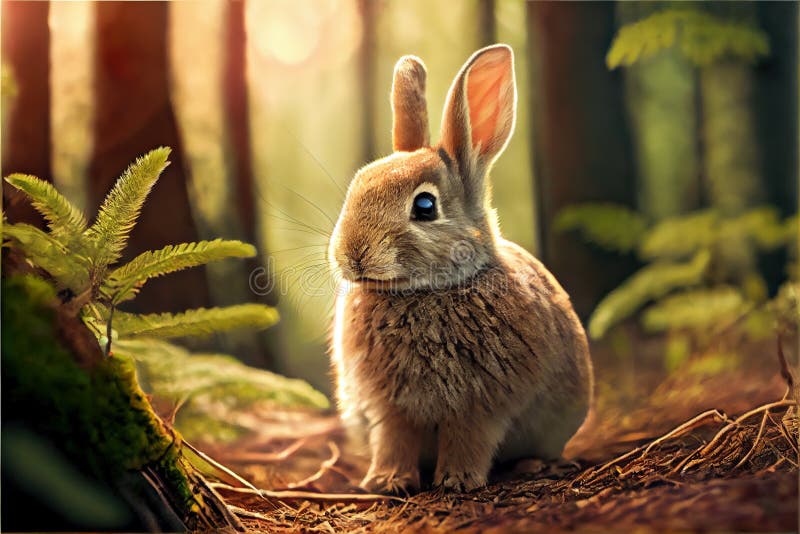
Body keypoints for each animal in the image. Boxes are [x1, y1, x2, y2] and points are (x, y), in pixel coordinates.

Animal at [328, 44, 594, 494]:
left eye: (424, 206)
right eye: (357, 186)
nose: (353, 254)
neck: (421, 291)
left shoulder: (480, 404)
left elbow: (469, 438)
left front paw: (457, 481)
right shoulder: (389, 407)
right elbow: (394, 438)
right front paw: (386, 481)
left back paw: (534, 466)